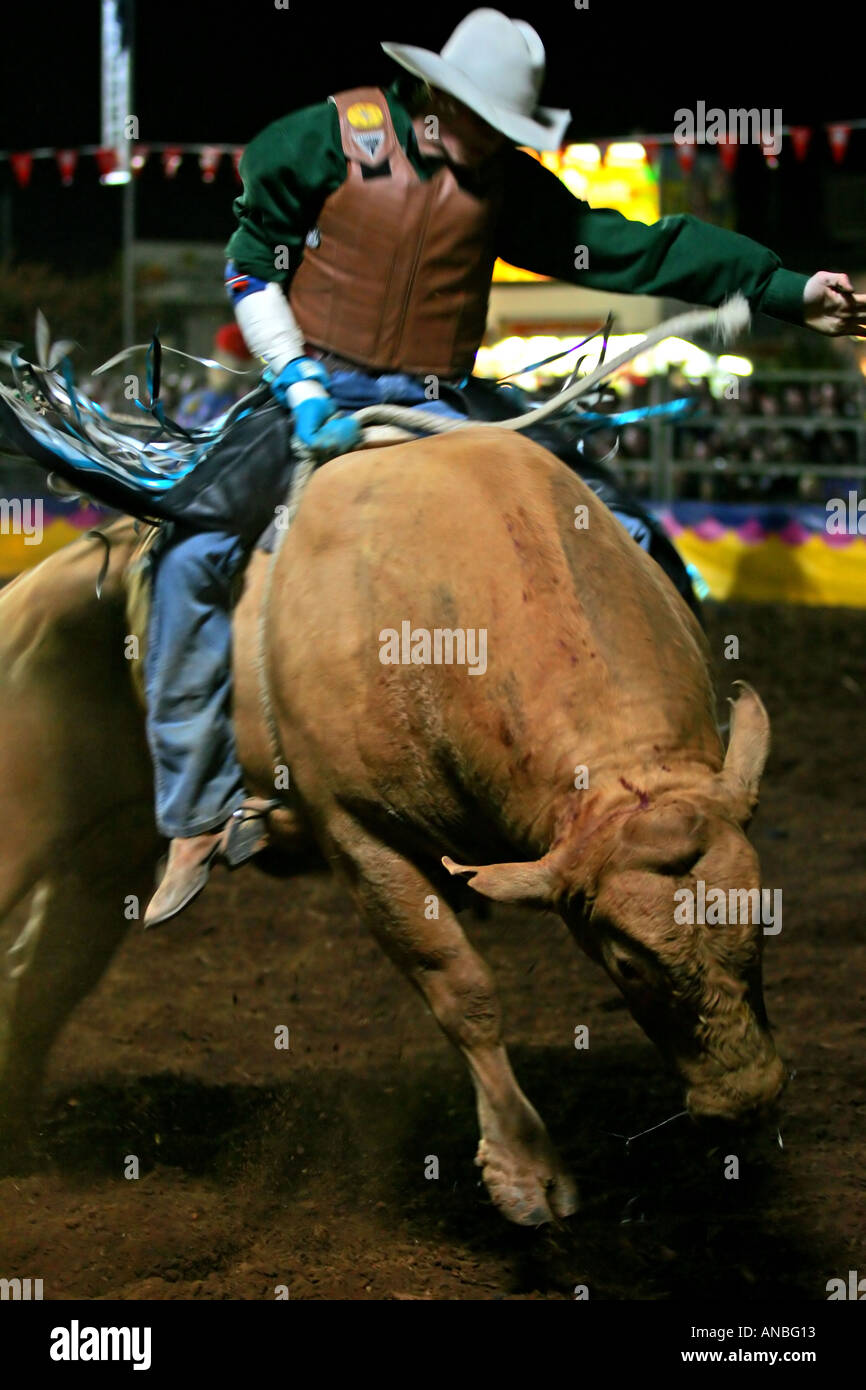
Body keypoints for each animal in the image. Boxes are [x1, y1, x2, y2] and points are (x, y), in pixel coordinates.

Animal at [0, 425, 784, 1224]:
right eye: (627, 962)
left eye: (761, 920)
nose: (745, 1098)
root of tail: (31, 592)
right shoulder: (358, 832)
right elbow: (460, 986)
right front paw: (525, 1171)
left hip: (106, 851)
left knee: (45, 974)